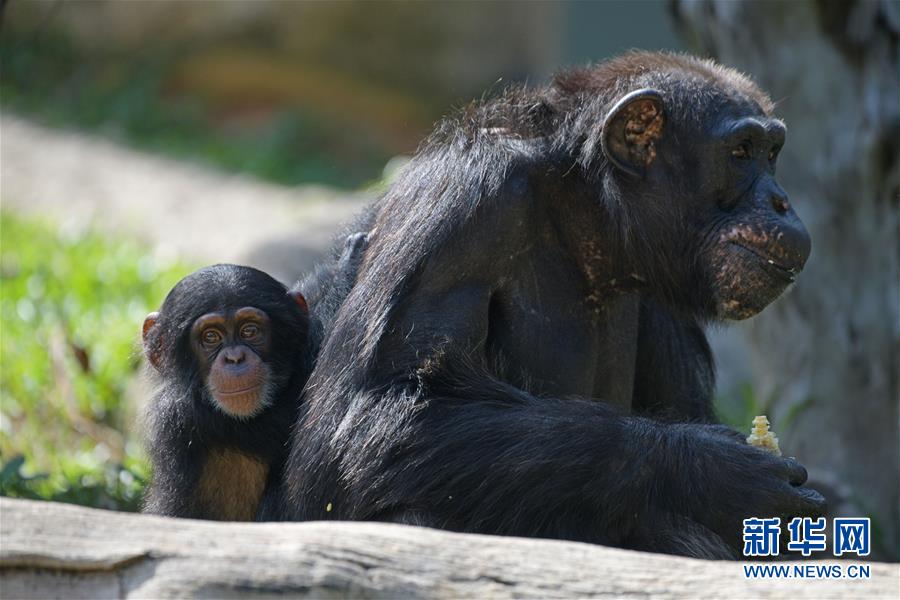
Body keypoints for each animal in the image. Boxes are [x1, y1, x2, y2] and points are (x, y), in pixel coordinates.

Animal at [284, 51, 828, 556]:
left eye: (772, 153)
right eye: (741, 151)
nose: (781, 201)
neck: (588, 211)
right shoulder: (463, 206)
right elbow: (364, 417)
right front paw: (714, 470)